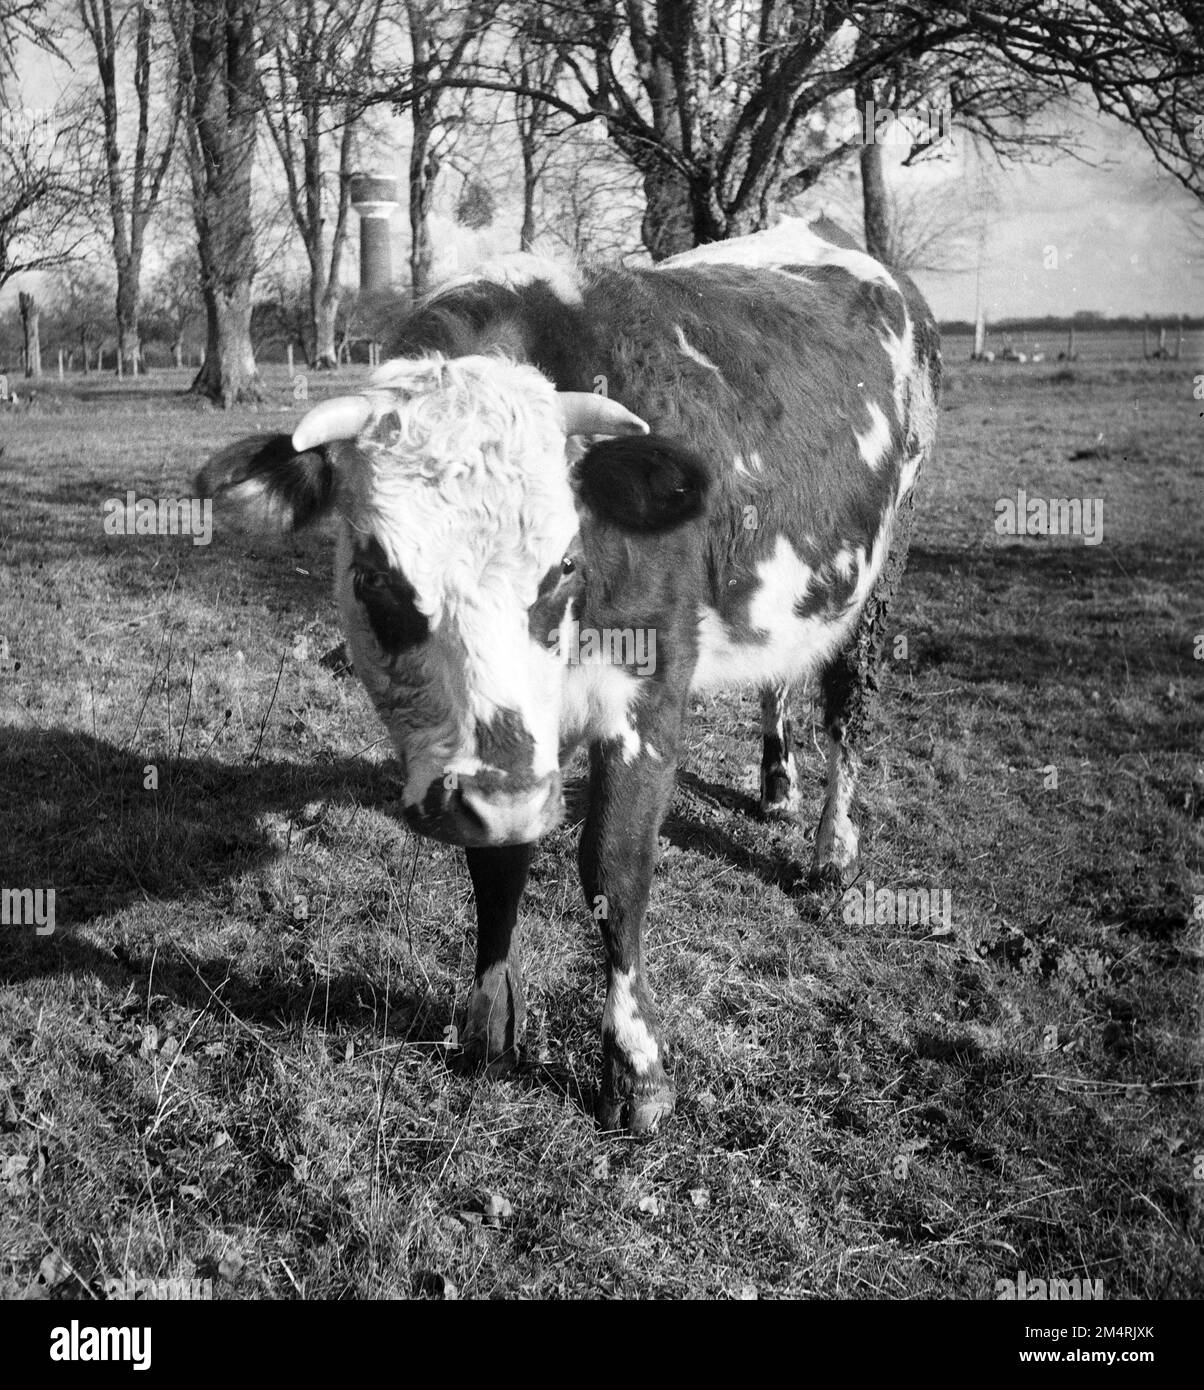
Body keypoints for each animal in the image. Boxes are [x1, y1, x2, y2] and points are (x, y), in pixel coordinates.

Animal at [197, 218, 941, 1133]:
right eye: (374, 576)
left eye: (563, 566)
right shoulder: (501, 762)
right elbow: (496, 864)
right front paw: (488, 1023)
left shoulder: (647, 698)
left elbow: (614, 871)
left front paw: (636, 1067)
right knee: (780, 679)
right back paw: (776, 786)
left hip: (881, 571)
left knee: (845, 704)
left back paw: (833, 844)